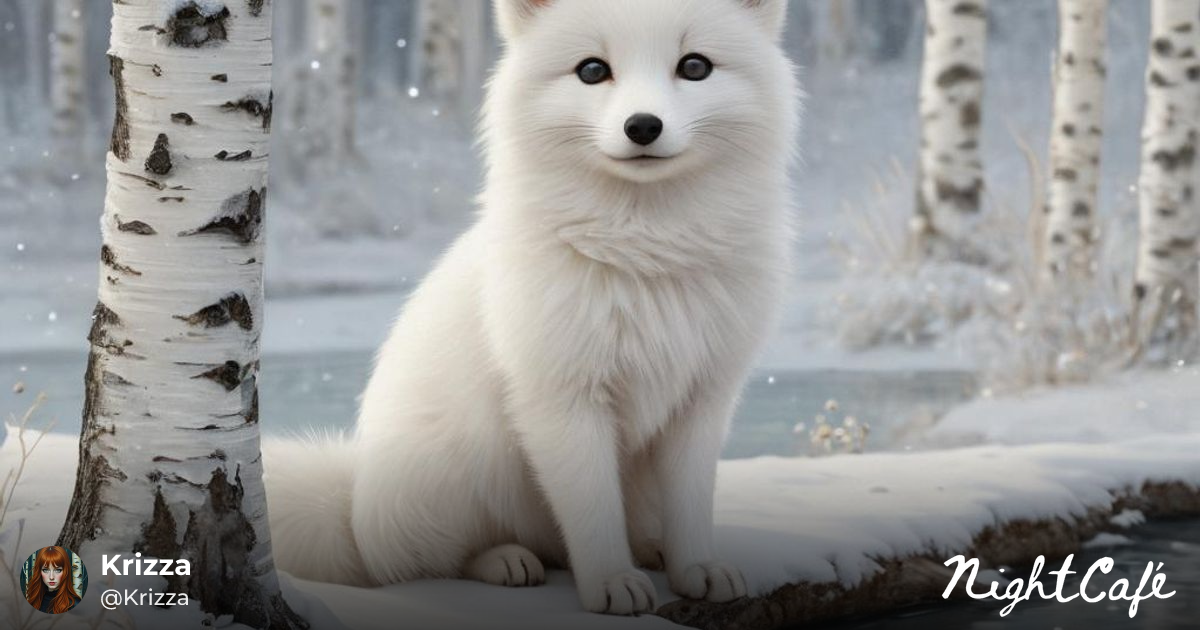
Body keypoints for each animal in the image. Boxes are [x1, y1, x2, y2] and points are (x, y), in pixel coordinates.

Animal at [265, 0, 799, 616]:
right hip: (449, 478)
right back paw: (505, 561)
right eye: (592, 70)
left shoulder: (704, 397)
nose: (643, 126)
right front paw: (612, 584)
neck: (646, 252)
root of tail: (351, 509)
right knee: (418, 564)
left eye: (694, 66)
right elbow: (592, 509)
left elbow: (691, 504)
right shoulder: (563, 398)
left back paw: (650, 548)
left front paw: (697, 570)